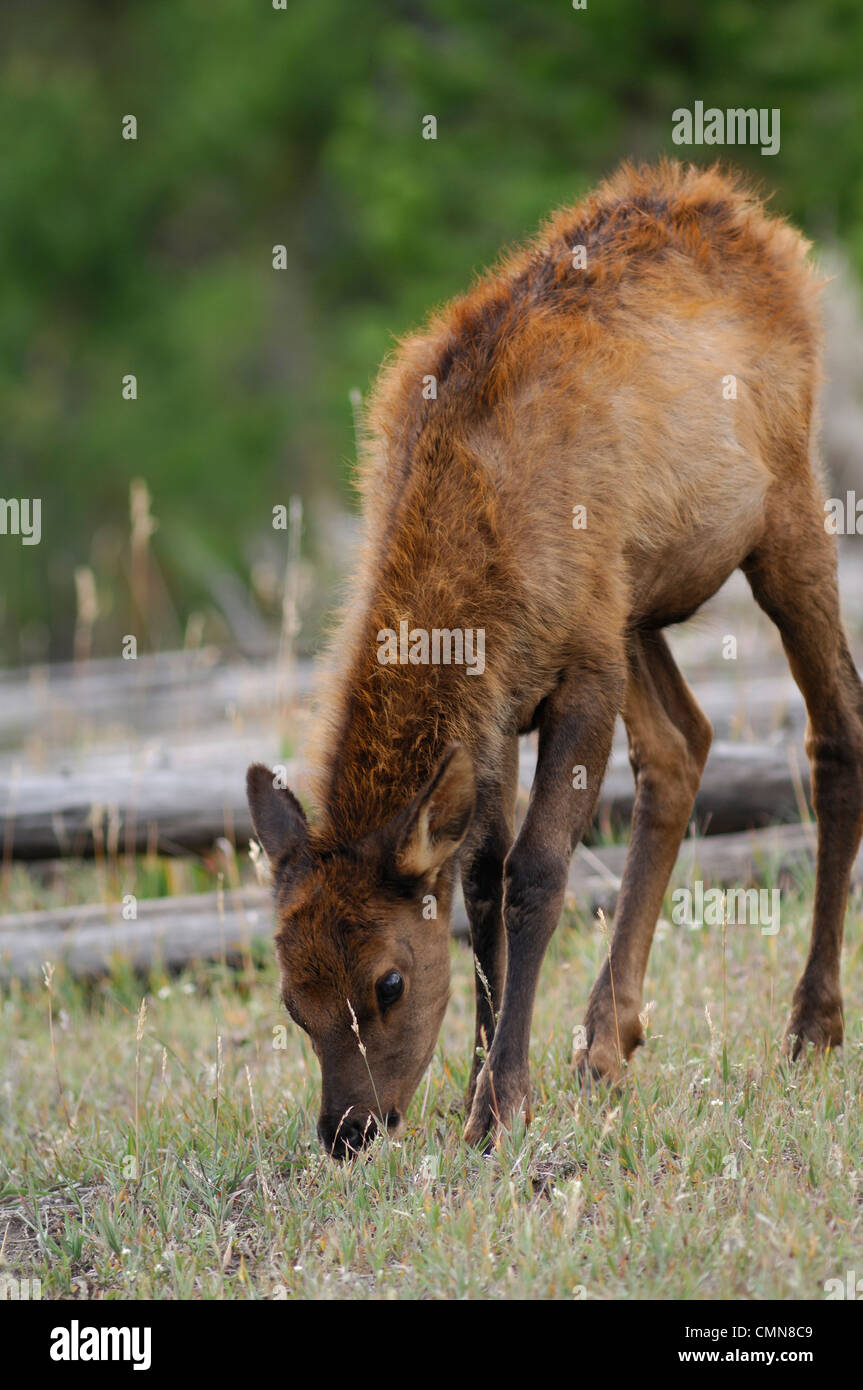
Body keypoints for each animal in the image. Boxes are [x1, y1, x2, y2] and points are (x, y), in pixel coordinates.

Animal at [247, 160, 863, 1158]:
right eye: (292, 1001)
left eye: (387, 983)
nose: (348, 1128)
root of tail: (747, 213)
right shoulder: (503, 703)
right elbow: (480, 881)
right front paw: (477, 1083)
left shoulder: (578, 671)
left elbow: (536, 873)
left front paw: (500, 1103)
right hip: (633, 600)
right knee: (682, 744)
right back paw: (607, 1038)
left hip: (785, 509)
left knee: (834, 726)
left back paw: (810, 1026)